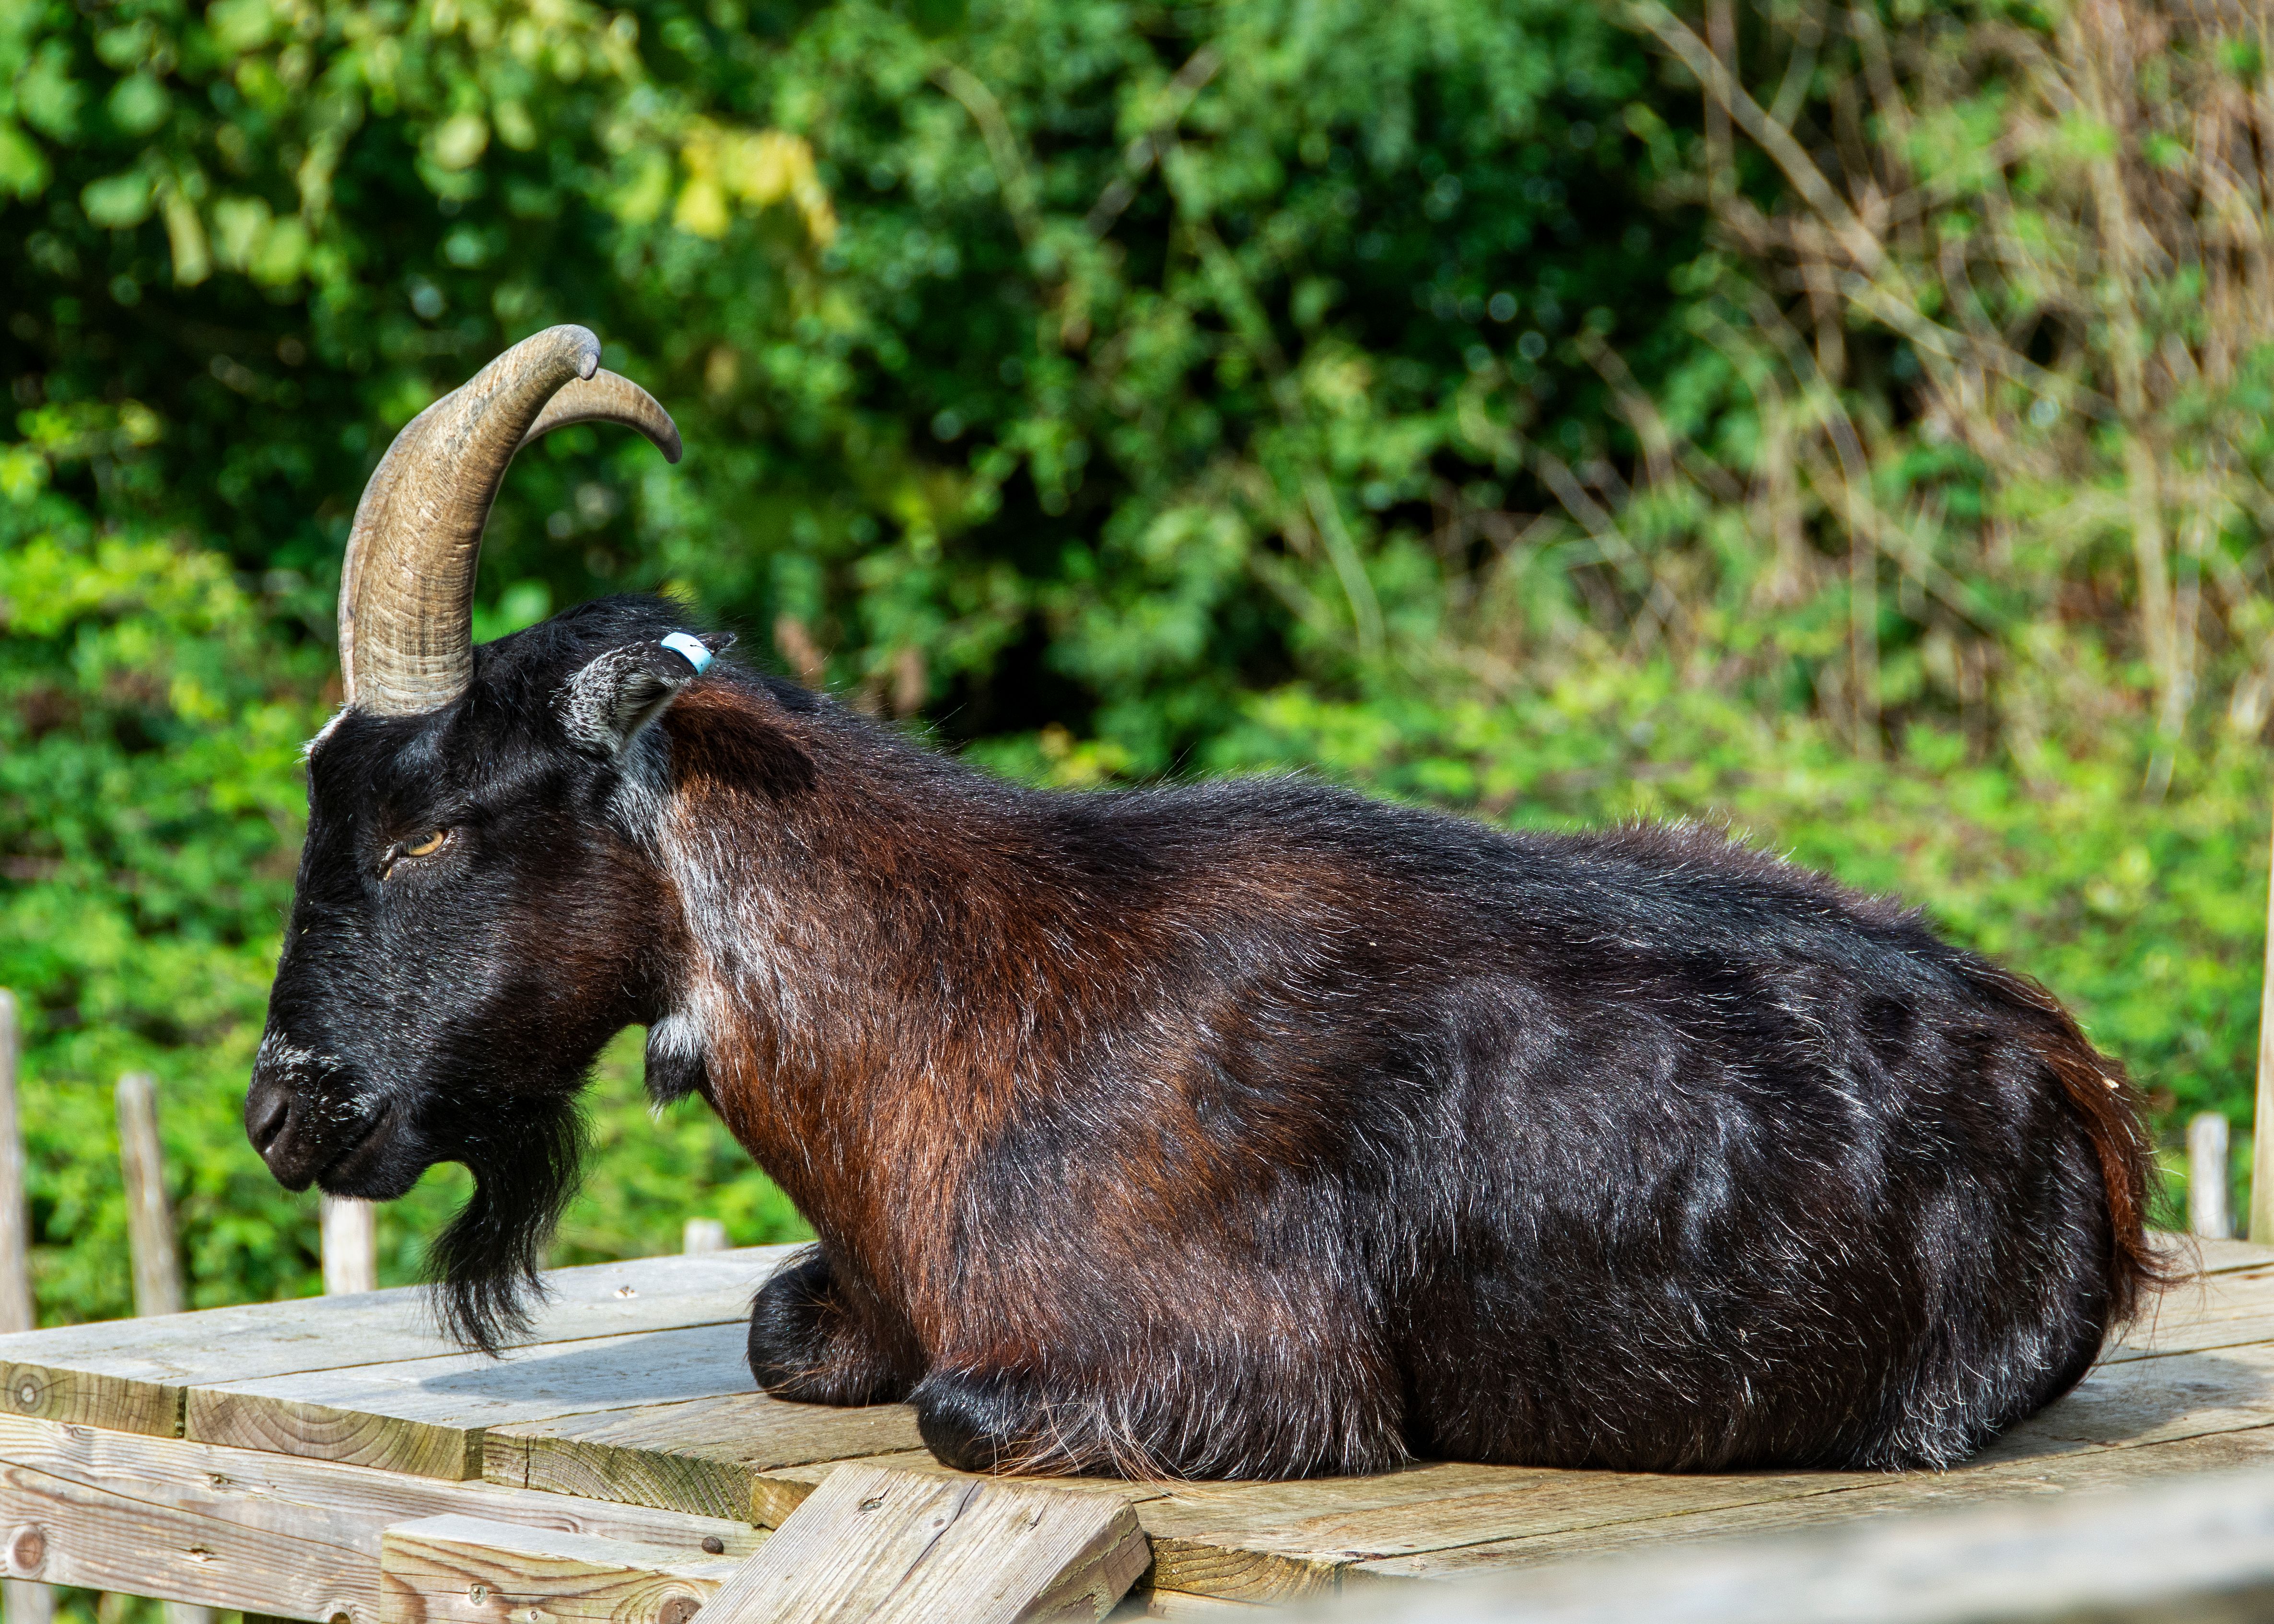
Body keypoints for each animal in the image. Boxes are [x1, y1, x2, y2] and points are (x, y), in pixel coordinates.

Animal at [248, 326, 2163, 1480]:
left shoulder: (1226, 1372)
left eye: (427, 834)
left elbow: (961, 1410)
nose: (287, 1111)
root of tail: (2083, 1093)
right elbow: (785, 1331)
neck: (942, 996)